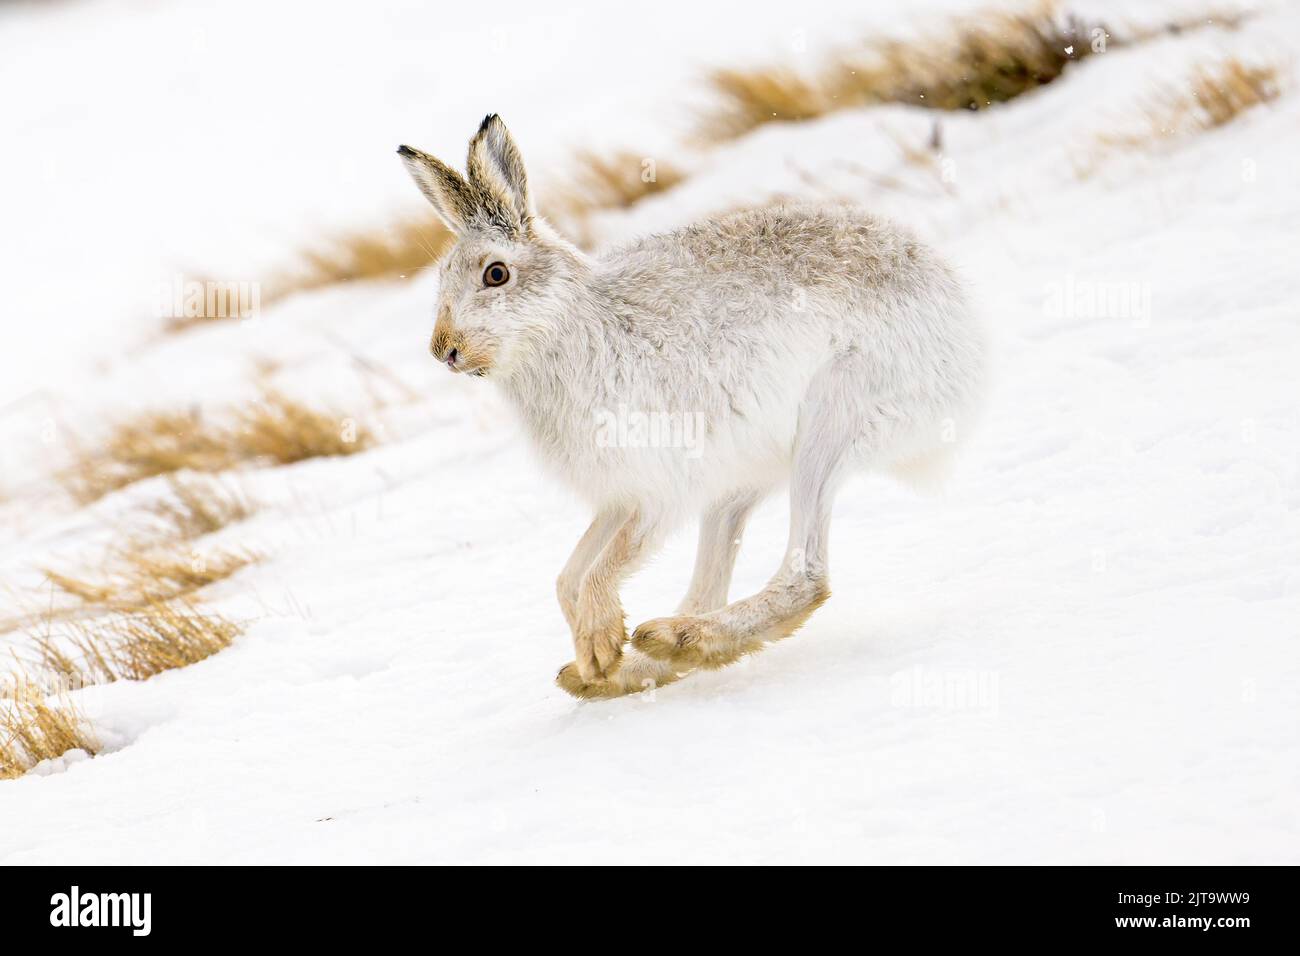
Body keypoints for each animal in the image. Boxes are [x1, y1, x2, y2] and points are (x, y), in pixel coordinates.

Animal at [398, 114, 986, 699]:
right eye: (441, 280)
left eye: (495, 274)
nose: (444, 350)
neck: (566, 326)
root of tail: (963, 336)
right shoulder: (620, 494)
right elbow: (569, 574)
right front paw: (596, 656)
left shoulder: (659, 490)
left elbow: (601, 568)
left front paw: (601, 643)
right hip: (741, 481)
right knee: (711, 588)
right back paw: (641, 660)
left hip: (834, 417)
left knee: (806, 577)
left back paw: (673, 641)